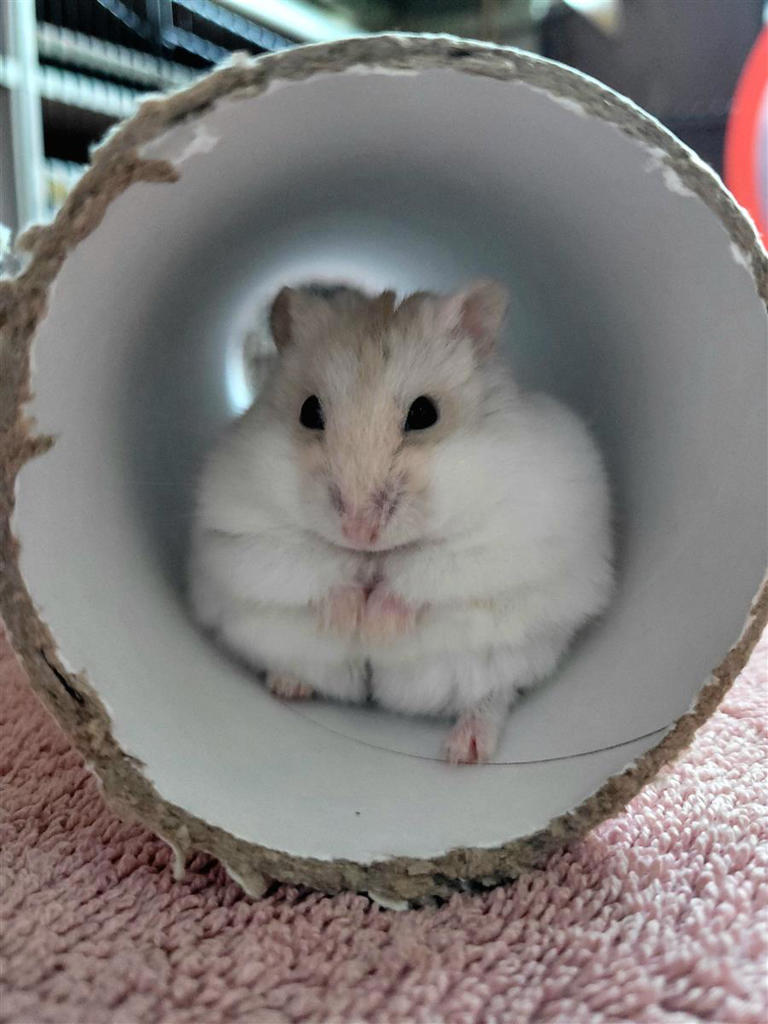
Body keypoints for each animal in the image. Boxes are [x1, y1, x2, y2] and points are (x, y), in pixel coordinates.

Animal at [189, 281, 614, 763]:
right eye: (309, 412)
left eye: (424, 413)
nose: (358, 531)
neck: (375, 555)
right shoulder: (246, 536)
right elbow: (315, 568)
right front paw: (350, 620)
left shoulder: (501, 541)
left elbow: (422, 574)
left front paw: (376, 627)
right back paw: (288, 685)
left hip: (506, 657)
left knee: (494, 695)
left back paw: (464, 750)